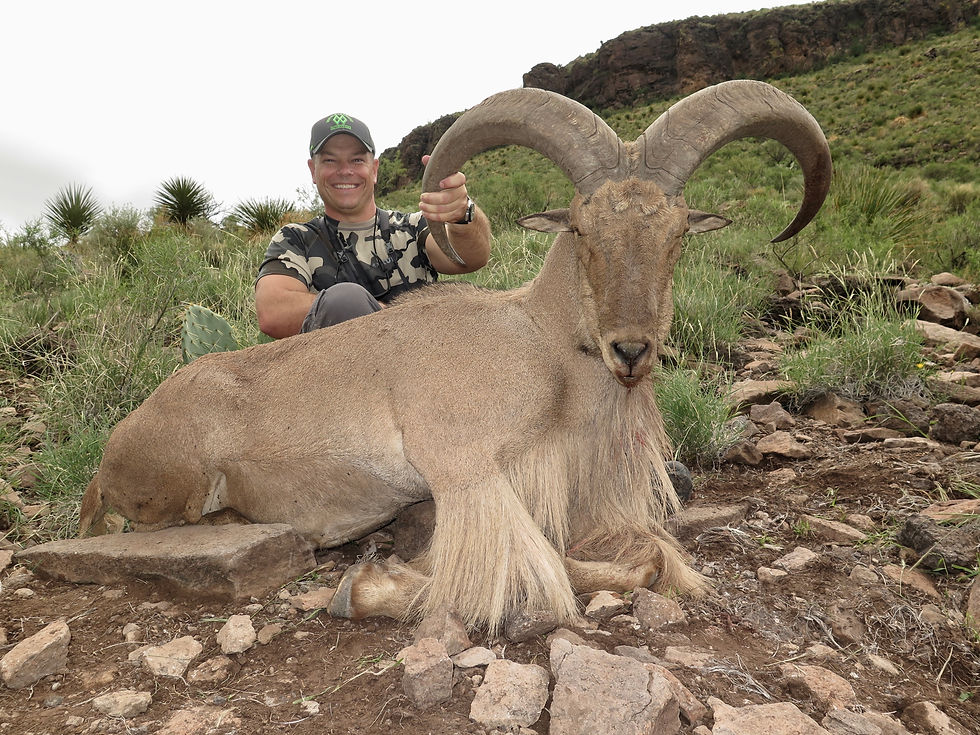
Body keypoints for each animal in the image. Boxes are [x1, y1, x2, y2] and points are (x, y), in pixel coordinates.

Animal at [79, 81, 831, 633]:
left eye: (677, 234)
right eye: (581, 229)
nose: (631, 349)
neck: (541, 346)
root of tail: (111, 450)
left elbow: (640, 554)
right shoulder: (468, 474)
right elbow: (539, 577)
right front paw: (369, 583)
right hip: (179, 482)